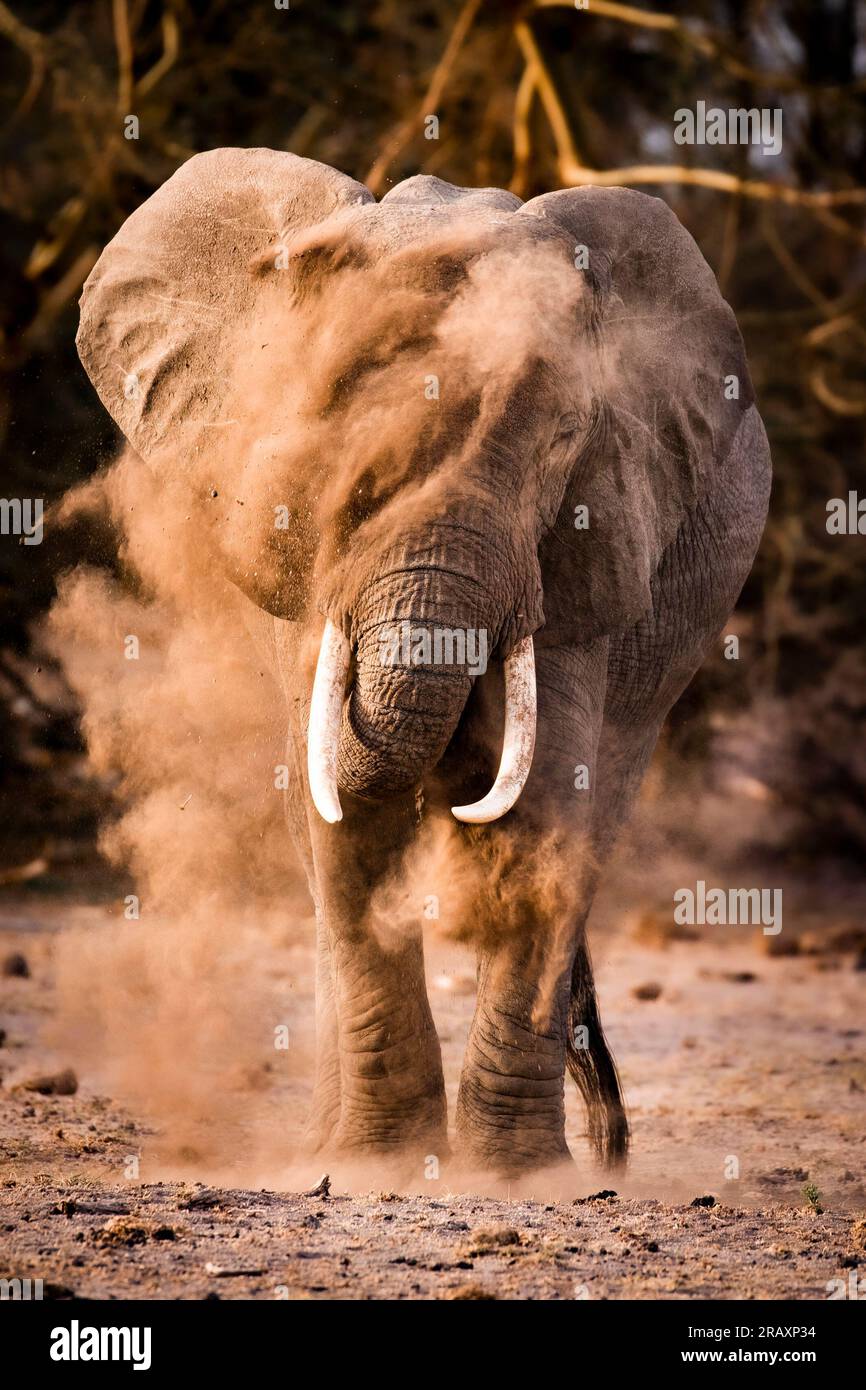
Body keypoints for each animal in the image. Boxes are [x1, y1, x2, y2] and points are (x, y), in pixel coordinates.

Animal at [76, 148, 771, 1178]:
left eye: (562, 444)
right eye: (327, 441)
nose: (611, 1148)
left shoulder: (585, 545)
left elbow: (542, 804)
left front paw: (515, 1180)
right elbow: (341, 813)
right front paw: (377, 1168)